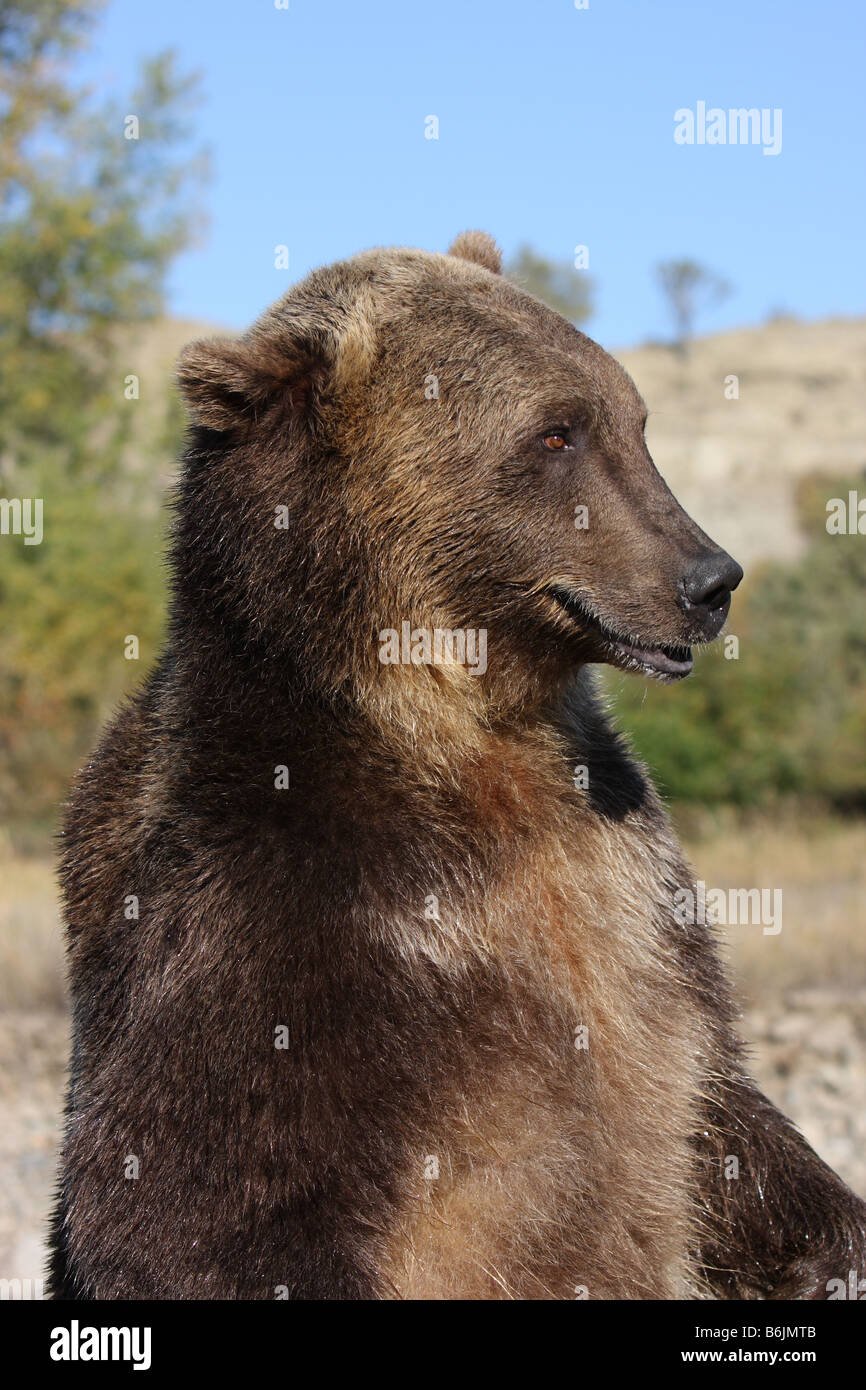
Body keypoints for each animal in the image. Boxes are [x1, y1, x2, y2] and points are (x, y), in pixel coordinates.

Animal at [49, 230, 866, 1300]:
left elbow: (720, 1110)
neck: (460, 731)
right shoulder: (257, 910)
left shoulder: (631, 894)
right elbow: (186, 1206)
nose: (709, 580)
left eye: (632, 418)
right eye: (555, 434)